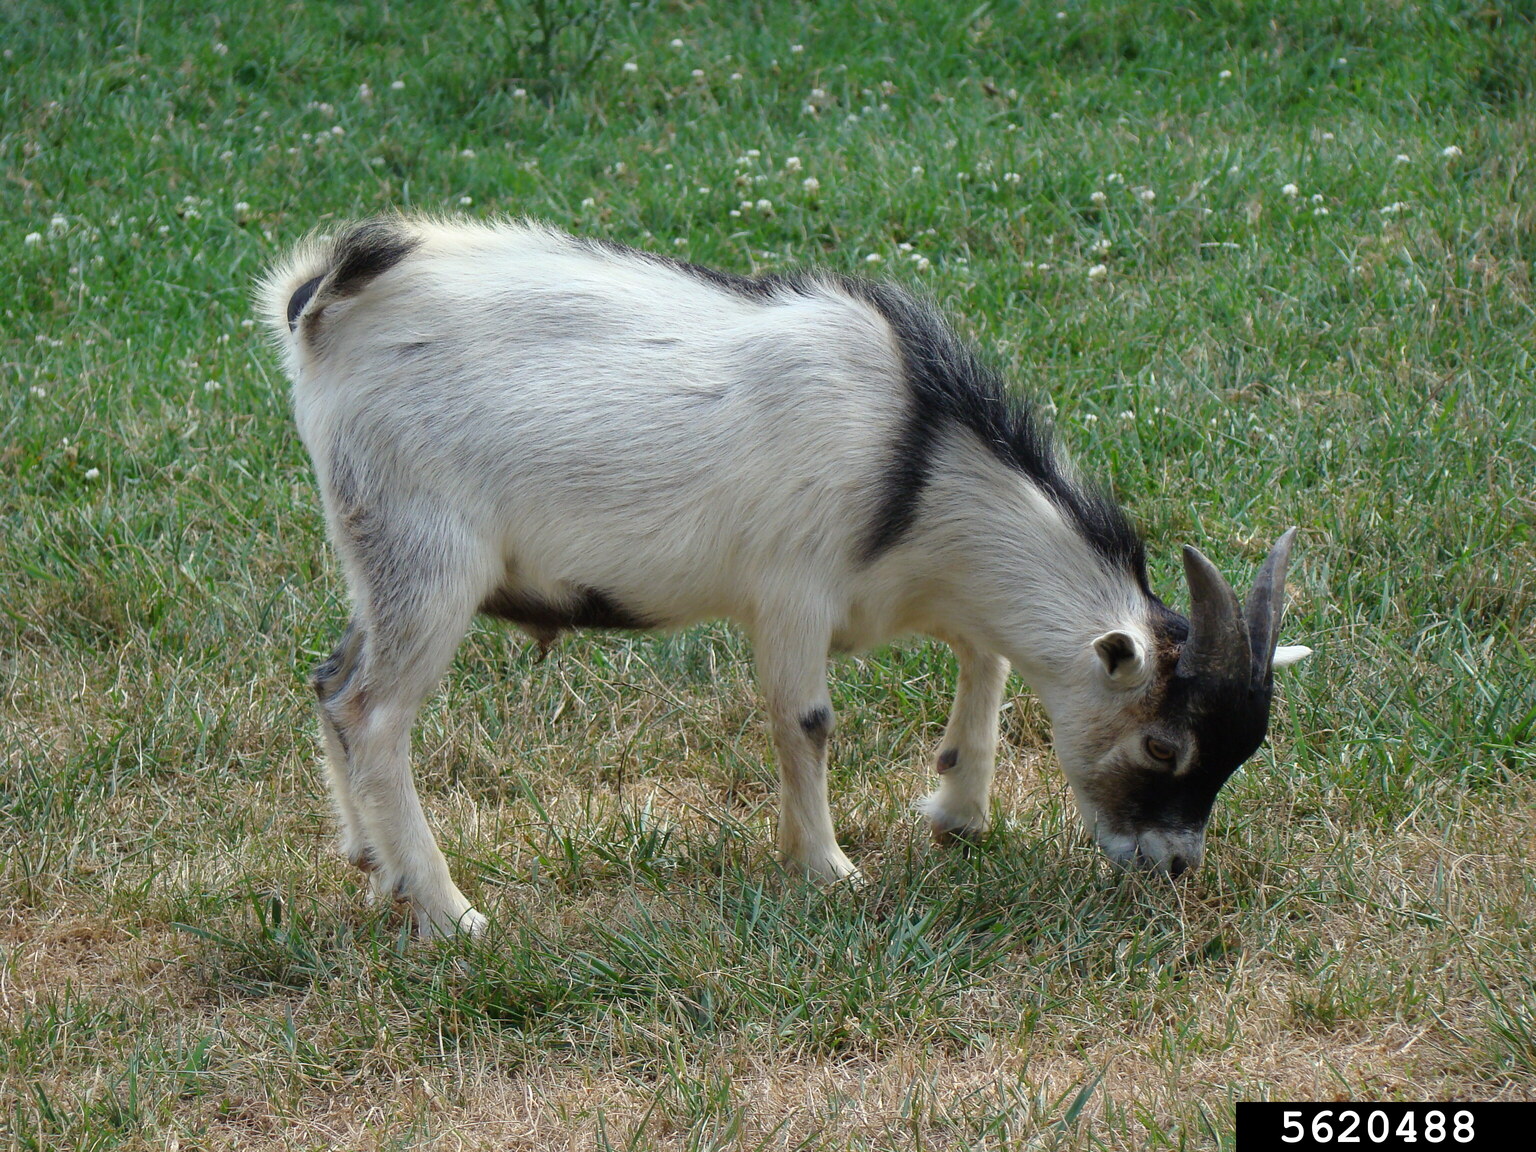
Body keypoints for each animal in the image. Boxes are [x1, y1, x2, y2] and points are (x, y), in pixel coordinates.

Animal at [257, 216, 1311, 938]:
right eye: (1165, 747)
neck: (914, 461)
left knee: (331, 682)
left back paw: (370, 861)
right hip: (430, 559)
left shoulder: (906, 591)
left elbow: (989, 655)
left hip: (375, 558)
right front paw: (829, 868)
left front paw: (958, 813)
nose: (1172, 865)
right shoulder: (793, 593)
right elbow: (806, 721)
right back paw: (449, 910)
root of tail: (321, 302)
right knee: (374, 713)